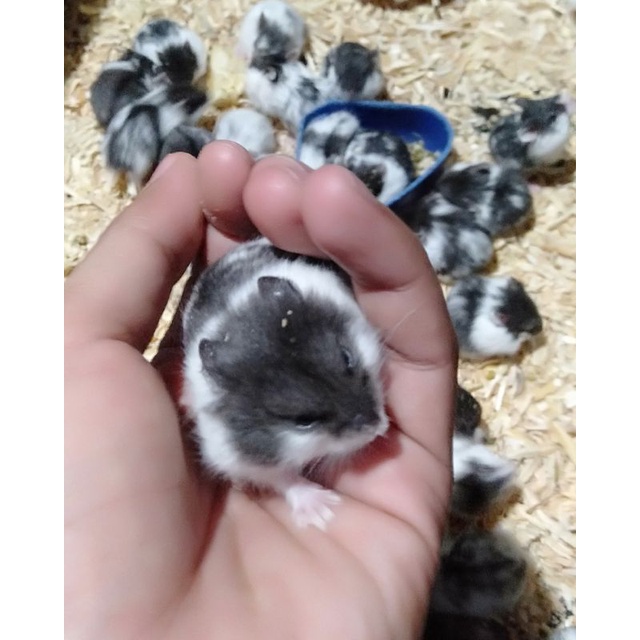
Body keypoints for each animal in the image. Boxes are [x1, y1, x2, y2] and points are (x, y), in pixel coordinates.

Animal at [181, 237, 389, 530]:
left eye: (347, 358)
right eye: (303, 420)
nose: (380, 430)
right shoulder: (237, 457)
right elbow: (284, 478)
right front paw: (324, 514)